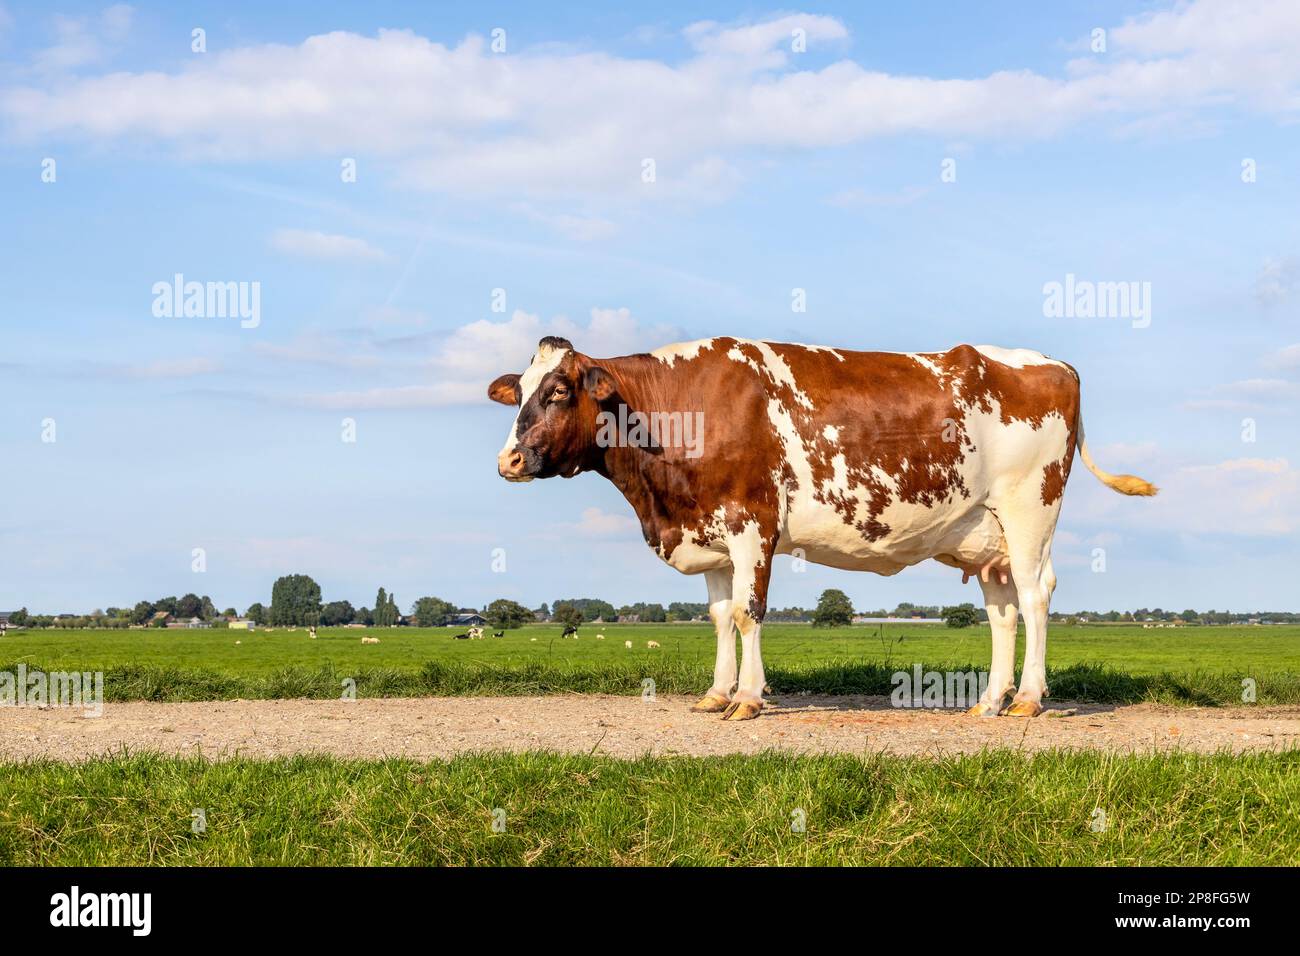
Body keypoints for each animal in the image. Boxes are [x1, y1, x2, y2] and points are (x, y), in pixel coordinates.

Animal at [490, 336, 1156, 721]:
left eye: (558, 391)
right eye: (517, 393)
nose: (509, 461)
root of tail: (1053, 361)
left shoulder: (752, 521)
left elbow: (748, 613)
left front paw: (748, 700)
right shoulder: (710, 532)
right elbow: (719, 617)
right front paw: (717, 693)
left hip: (1028, 509)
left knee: (1036, 596)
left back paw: (1029, 700)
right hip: (985, 532)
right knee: (1004, 611)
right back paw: (991, 700)